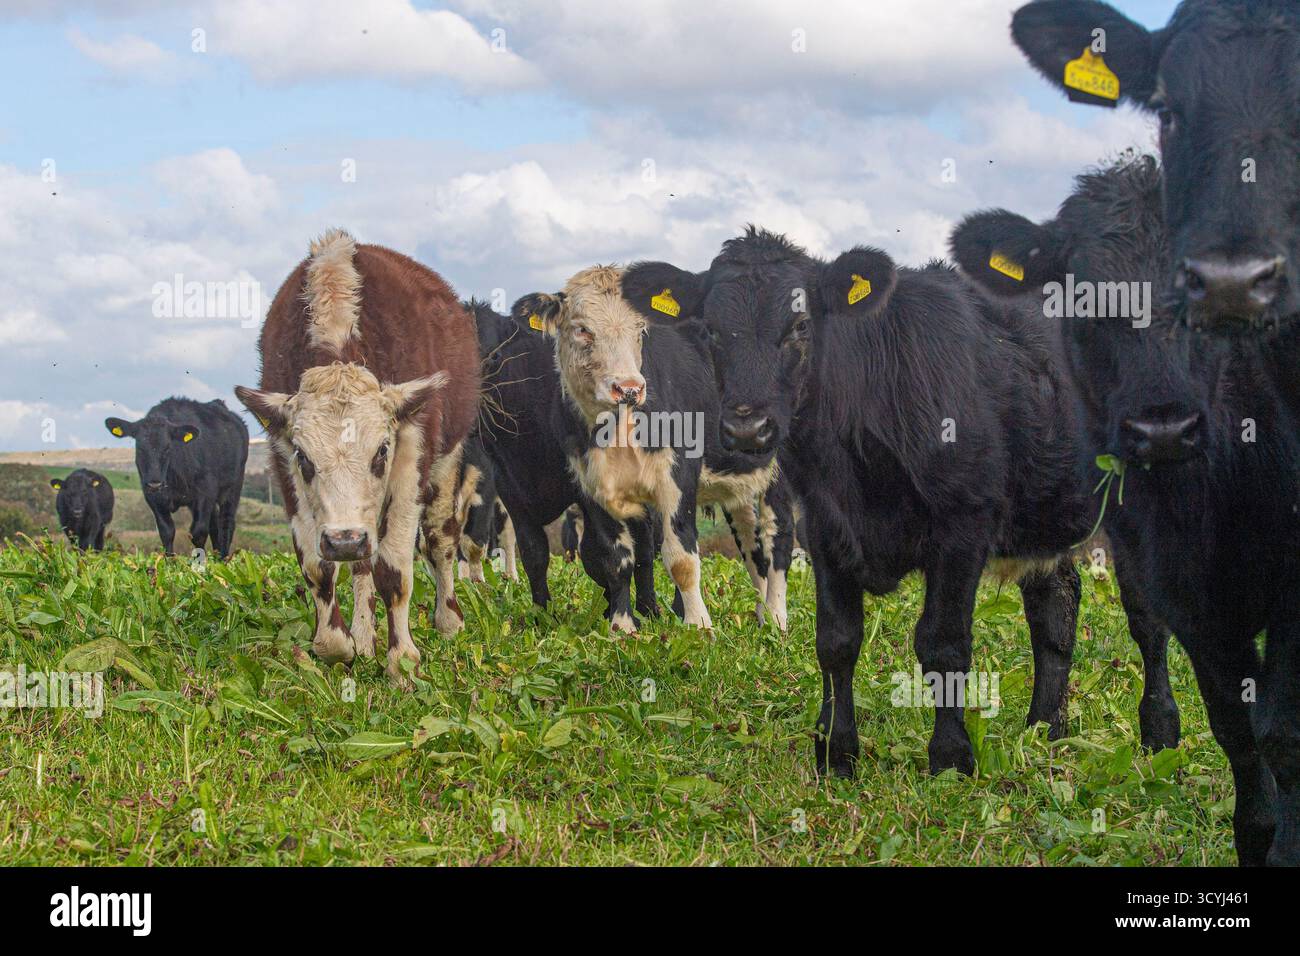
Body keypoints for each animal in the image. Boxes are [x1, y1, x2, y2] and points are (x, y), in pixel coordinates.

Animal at [106, 398, 248, 558]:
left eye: (168, 448)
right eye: (140, 448)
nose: (154, 483)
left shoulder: (205, 491)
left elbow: (198, 532)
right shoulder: (153, 497)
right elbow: (166, 531)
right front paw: (169, 561)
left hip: (233, 486)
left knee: (226, 522)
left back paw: (223, 558)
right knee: (214, 524)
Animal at [235, 229, 479, 684]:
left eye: (381, 451)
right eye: (305, 458)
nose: (345, 539)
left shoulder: (411, 452)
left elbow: (394, 570)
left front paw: (402, 663)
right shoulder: (284, 461)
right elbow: (319, 568)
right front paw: (340, 645)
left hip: (446, 461)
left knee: (440, 539)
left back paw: (448, 621)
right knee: (362, 566)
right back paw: (365, 637)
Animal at [517, 265, 795, 632]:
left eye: (640, 329)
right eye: (582, 329)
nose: (629, 388)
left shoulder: (677, 477)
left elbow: (681, 559)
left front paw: (698, 625)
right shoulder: (591, 487)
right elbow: (616, 559)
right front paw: (621, 627)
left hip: (780, 469)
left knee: (779, 538)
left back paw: (777, 618)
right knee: (752, 543)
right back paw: (762, 615)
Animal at [622, 227, 1184, 779]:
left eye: (801, 323)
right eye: (710, 330)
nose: (747, 428)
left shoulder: (963, 524)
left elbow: (943, 642)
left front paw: (951, 758)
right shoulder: (826, 525)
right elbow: (836, 641)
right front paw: (836, 753)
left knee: (1145, 617)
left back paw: (1160, 733)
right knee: (1056, 608)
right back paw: (1045, 729)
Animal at [951, 154, 1300, 866]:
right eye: (1082, 297)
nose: (1161, 428)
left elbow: (1283, 734)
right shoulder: (1193, 596)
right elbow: (1239, 727)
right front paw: (1256, 833)